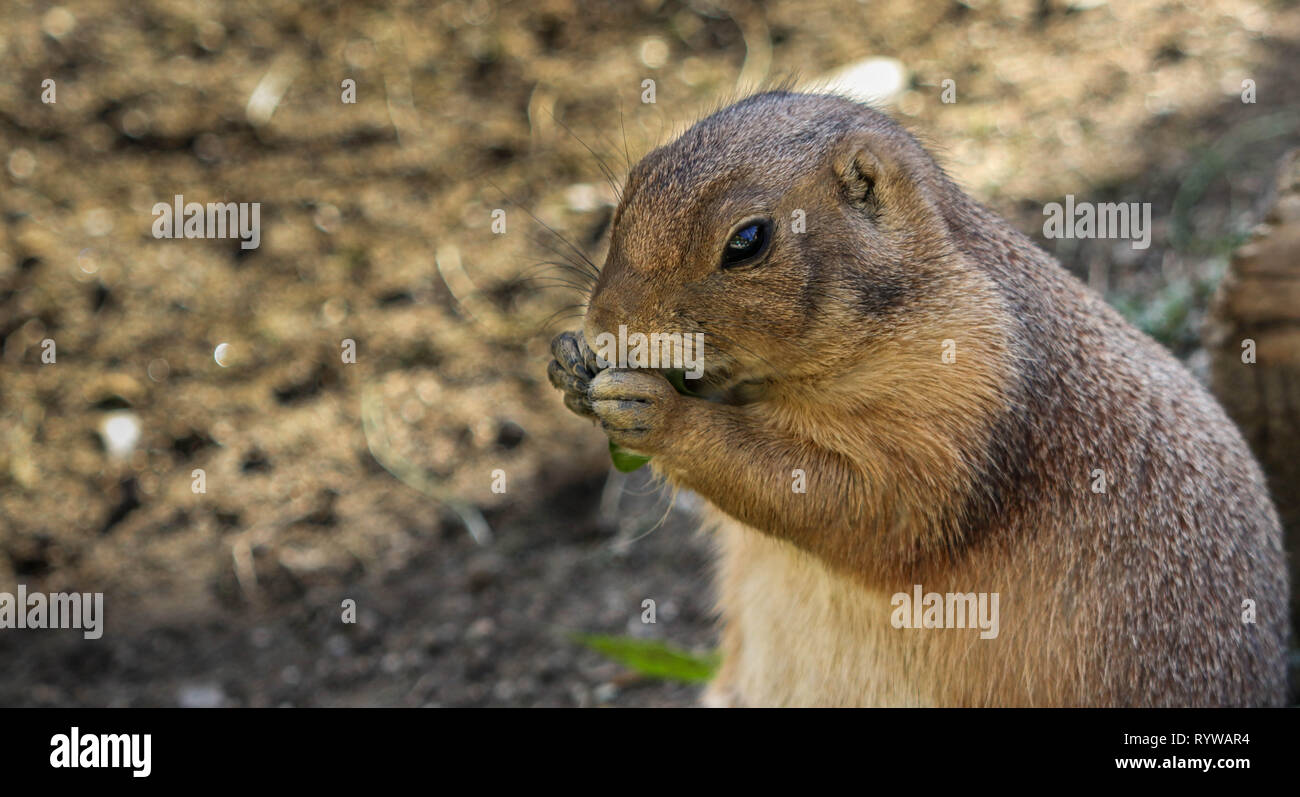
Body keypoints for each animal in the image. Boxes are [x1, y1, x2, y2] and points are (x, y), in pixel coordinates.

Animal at [546, 91, 1289, 707]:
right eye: (630, 186)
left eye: (748, 240)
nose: (604, 327)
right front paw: (568, 362)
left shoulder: (964, 384)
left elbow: (866, 497)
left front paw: (656, 410)